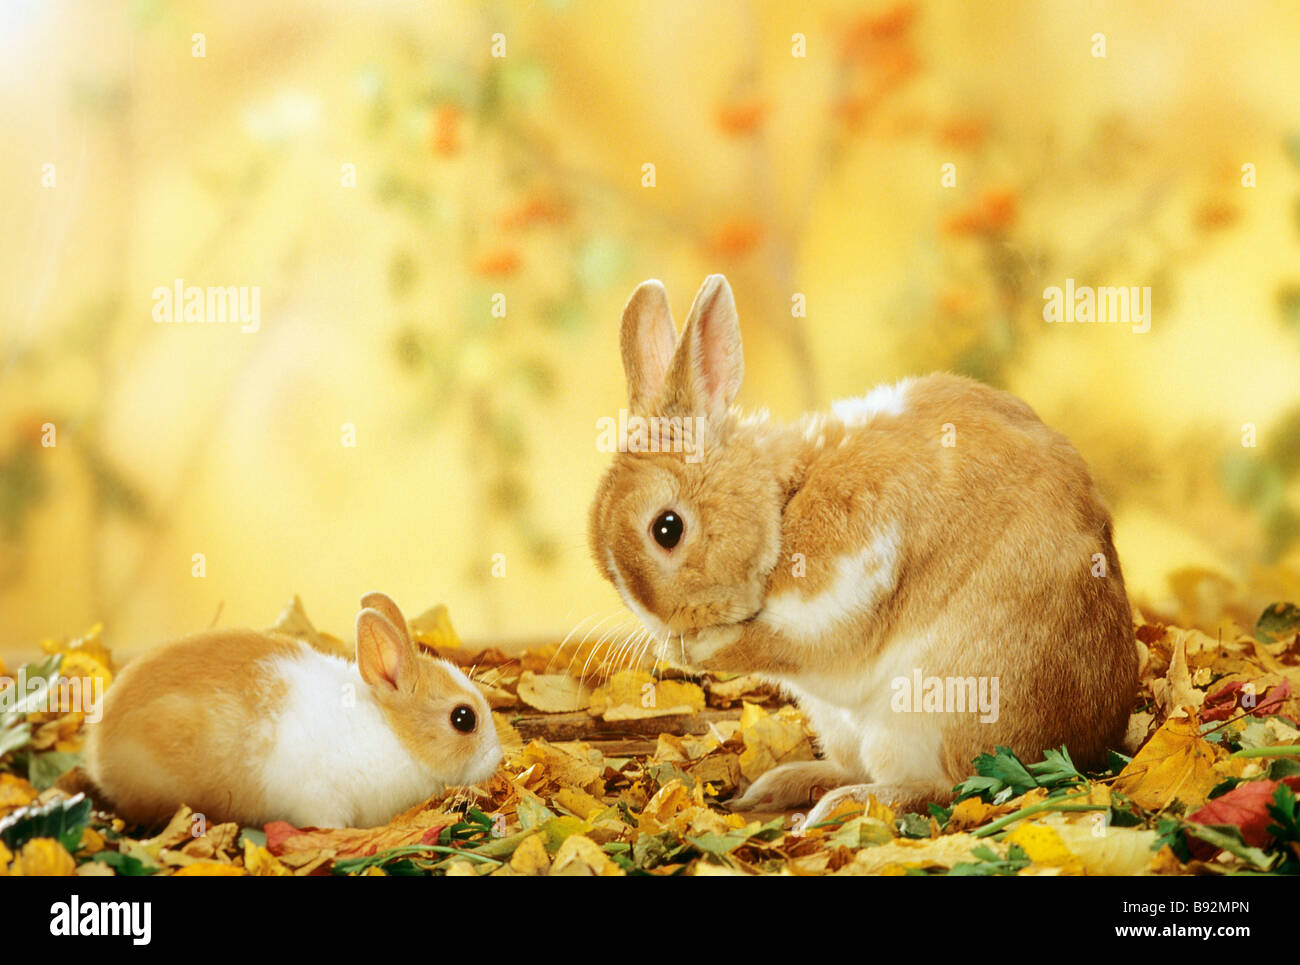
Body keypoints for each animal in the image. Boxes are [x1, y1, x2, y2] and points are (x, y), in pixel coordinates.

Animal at [589, 274, 1137, 824]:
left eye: (667, 529)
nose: (665, 624)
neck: (784, 503)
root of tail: (1086, 747)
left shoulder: (837, 605)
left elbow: (781, 646)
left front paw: (692, 649)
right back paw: (781, 785)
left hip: (930, 712)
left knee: (946, 787)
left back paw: (837, 806)